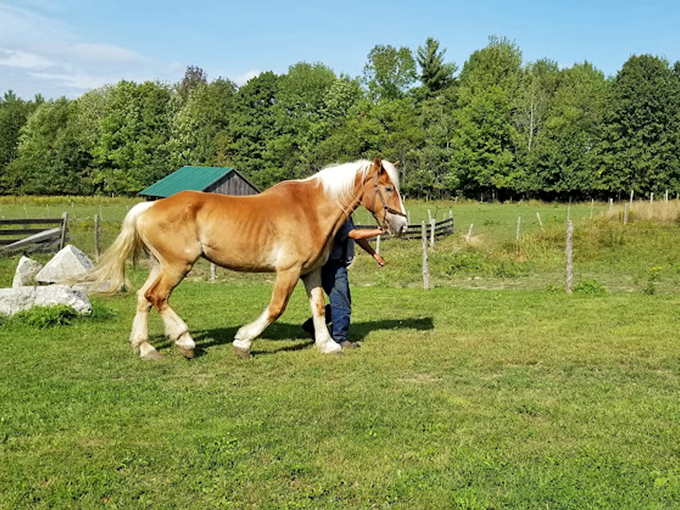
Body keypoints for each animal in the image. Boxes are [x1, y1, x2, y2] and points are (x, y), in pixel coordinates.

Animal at [86, 156, 408, 360]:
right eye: (388, 188)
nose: (402, 225)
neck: (311, 209)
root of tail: (148, 208)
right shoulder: (288, 271)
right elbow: (276, 308)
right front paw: (243, 342)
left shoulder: (311, 272)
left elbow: (317, 306)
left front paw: (327, 345)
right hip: (177, 266)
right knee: (158, 297)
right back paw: (185, 341)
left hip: (160, 265)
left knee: (143, 297)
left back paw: (146, 349)